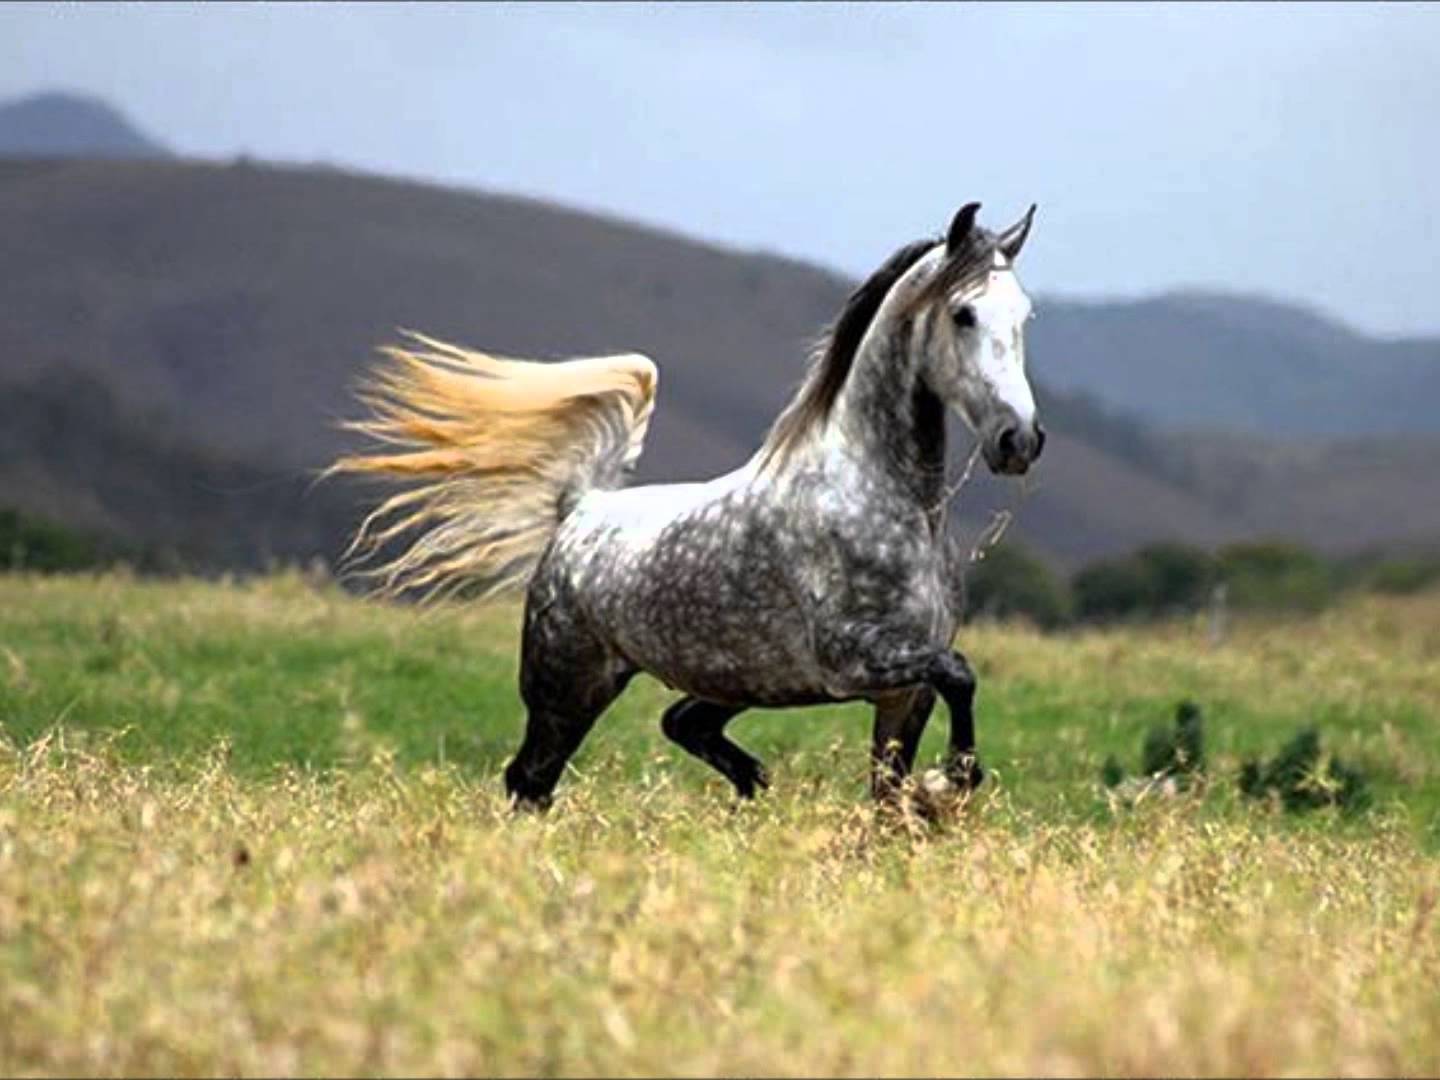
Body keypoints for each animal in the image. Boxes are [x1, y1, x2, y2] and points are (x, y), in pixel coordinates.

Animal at [329, 201, 1045, 809]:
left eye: (1025, 315)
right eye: (964, 314)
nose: (1020, 440)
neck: (883, 502)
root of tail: (580, 507)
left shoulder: (903, 694)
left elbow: (891, 796)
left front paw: (932, 798)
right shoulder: (855, 659)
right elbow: (961, 673)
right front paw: (955, 778)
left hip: (738, 678)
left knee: (677, 722)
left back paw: (752, 780)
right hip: (570, 687)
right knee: (529, 780)